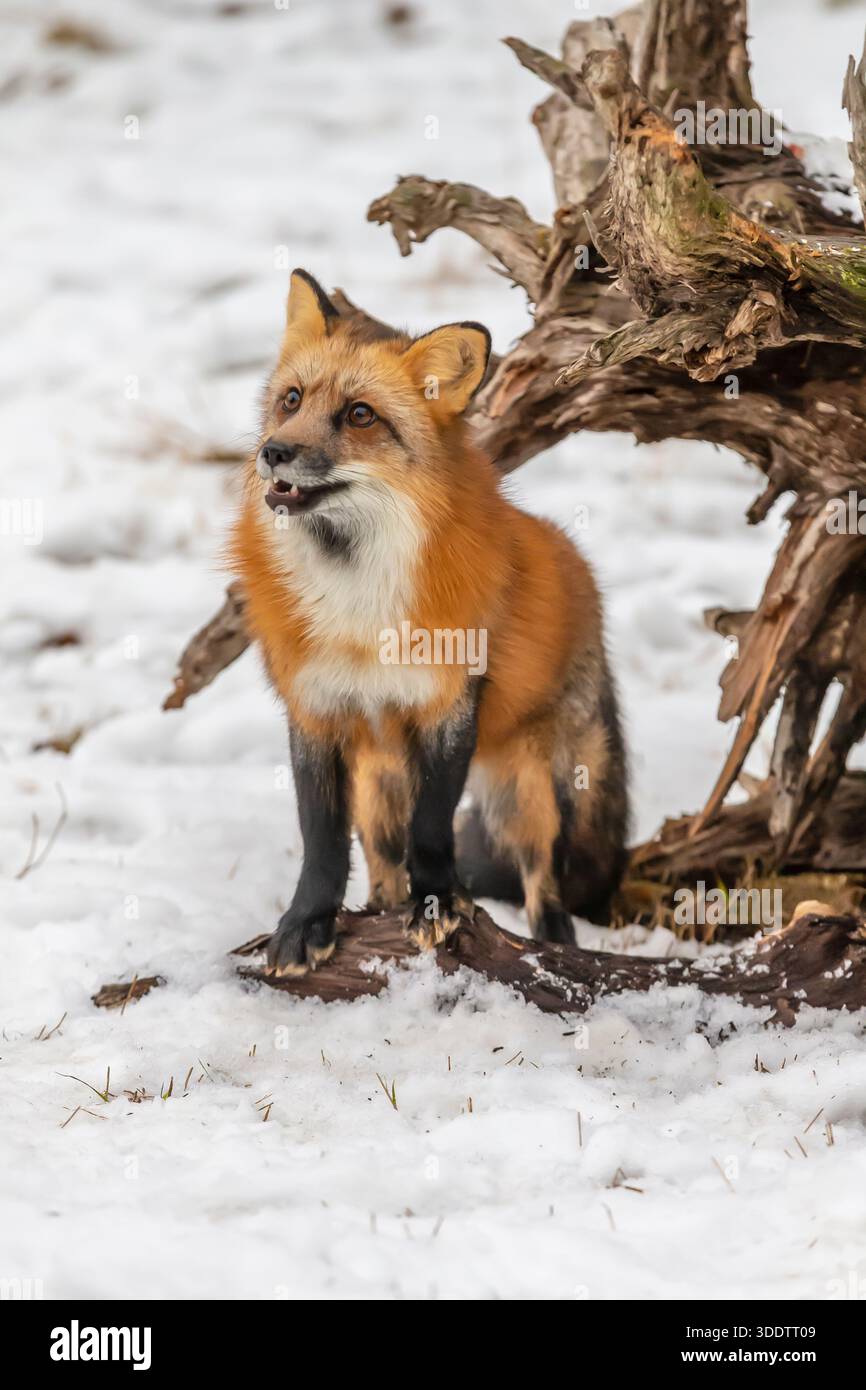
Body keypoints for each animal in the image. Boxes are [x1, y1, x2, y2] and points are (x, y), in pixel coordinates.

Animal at [231, 269, 628, 975]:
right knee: (384, 863)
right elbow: (321, 840)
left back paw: (556, 949)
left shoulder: (448, 706)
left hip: (526, 792)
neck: (356, 606)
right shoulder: (315, 712)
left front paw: (440, 902)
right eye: (291, 400)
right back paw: (382, 909)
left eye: (360, 414)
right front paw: (307, 922)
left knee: (543, 884)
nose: (273, 452)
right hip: (380, 782)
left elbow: (435, 830)